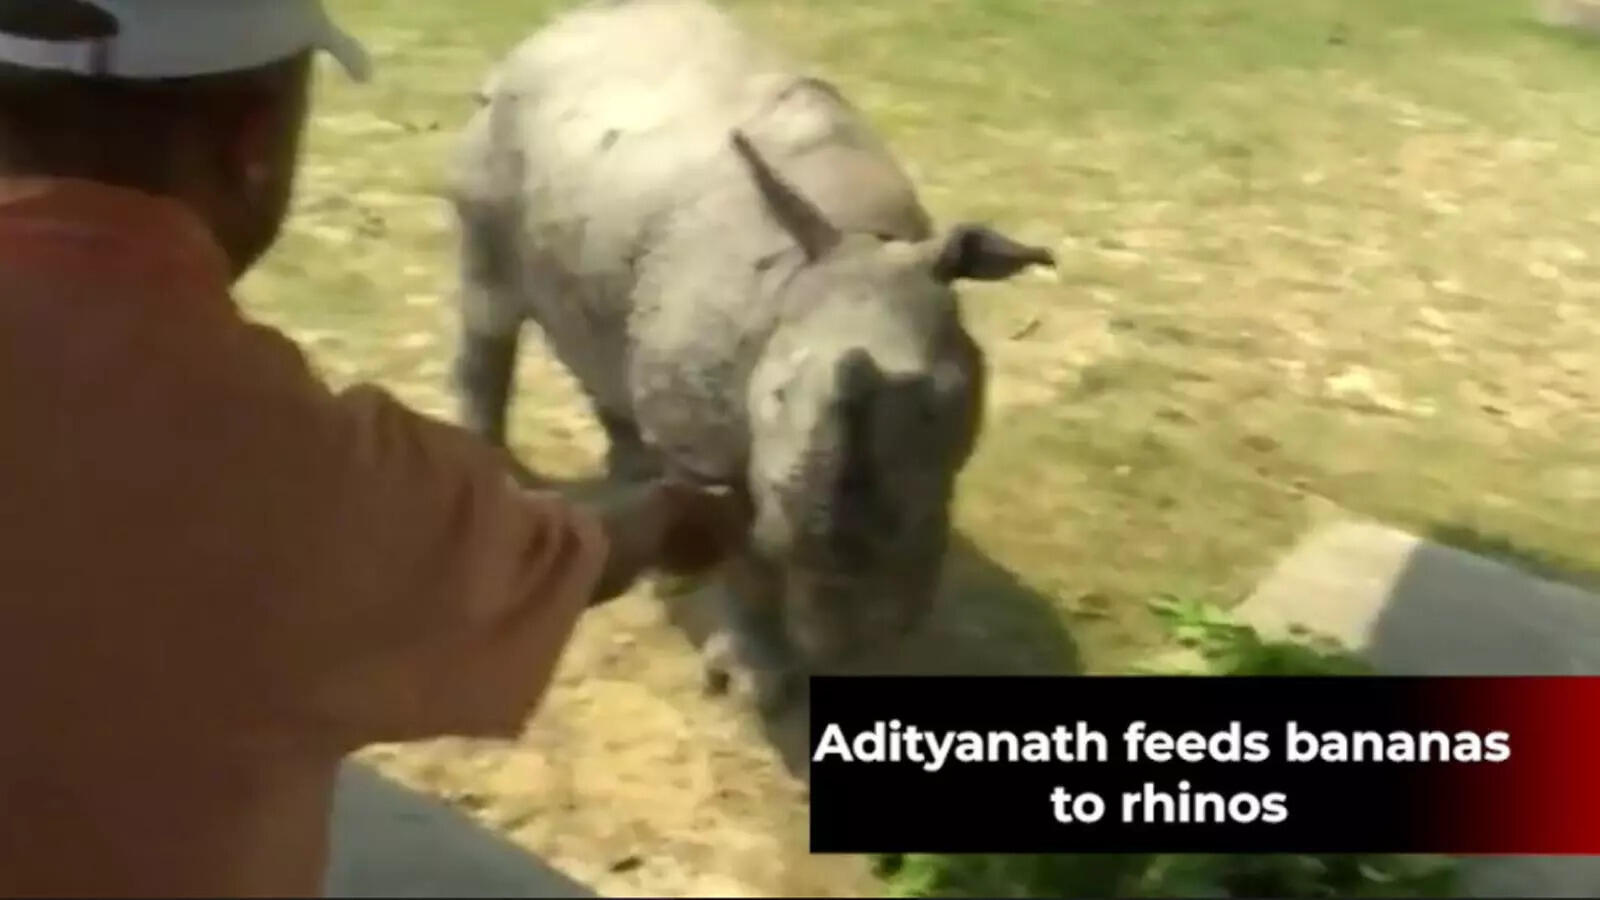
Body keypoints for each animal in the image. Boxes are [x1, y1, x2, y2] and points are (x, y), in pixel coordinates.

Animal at [446, 0, 1055, 711]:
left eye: (940, 403)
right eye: (780, 395)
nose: (858, 631)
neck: (861, 240)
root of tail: (550, 32)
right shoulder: (718, 449)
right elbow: (746, 558)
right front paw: (751, 687)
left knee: (605, 332)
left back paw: (638, 484)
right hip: (493, 137)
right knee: (491, 302)